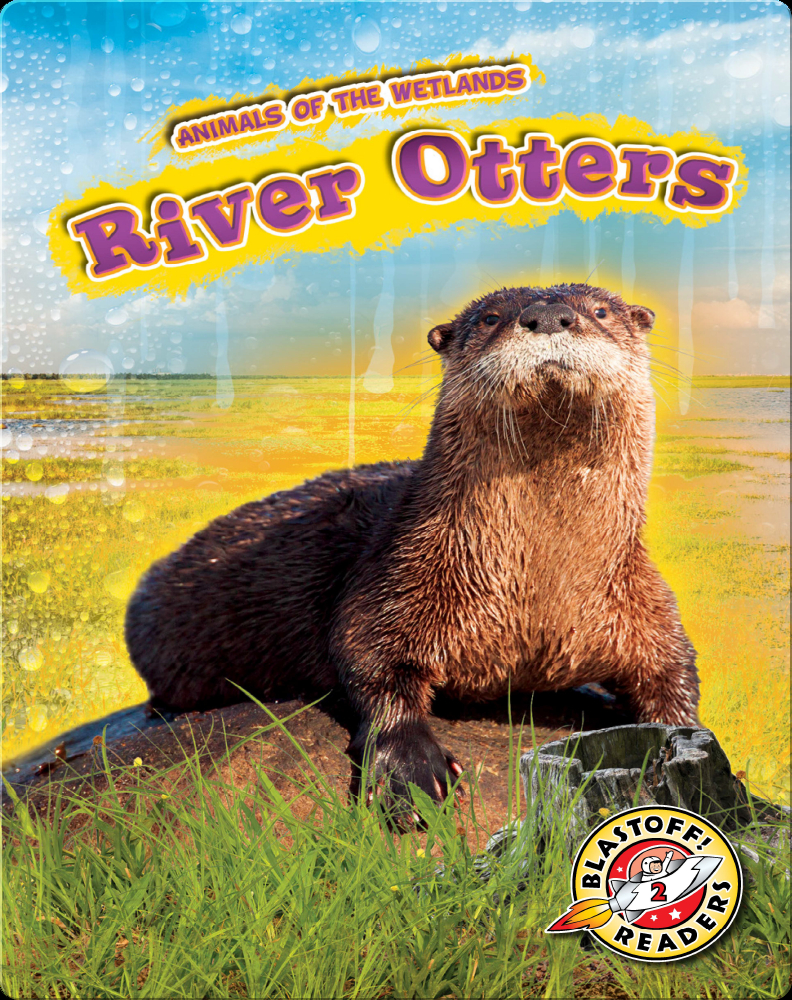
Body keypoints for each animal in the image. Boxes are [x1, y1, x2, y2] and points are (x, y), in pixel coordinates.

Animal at [125, 283, 699, 807]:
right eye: (490, 317)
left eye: (600, 310)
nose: (548, 314)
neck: (539, 590)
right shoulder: (398, 572)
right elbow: (369, 661)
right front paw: (411, 766)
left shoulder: (644, 604)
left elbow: (678, 682)